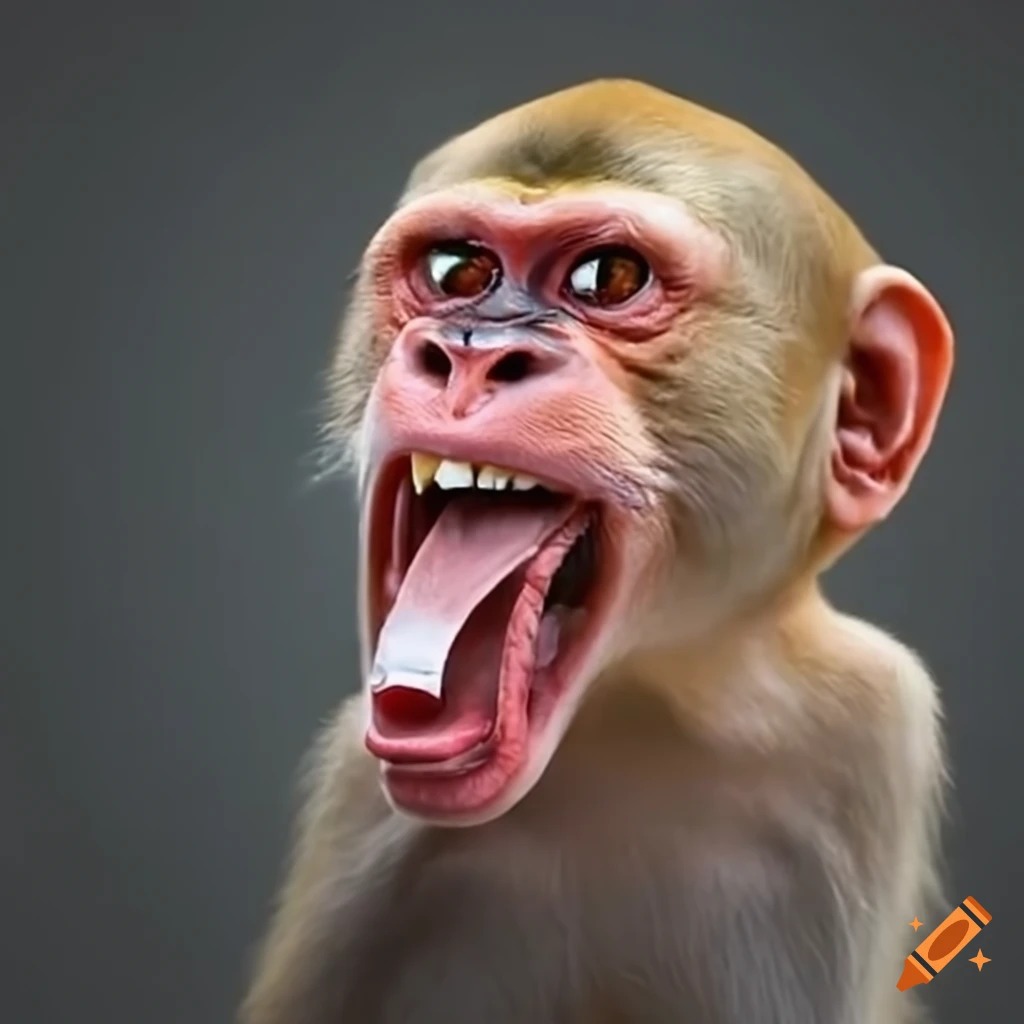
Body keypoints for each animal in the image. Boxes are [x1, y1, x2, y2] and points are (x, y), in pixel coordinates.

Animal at [240, 79, 954, 1024]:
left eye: (607, 278)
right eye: (457, 272)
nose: (471, 354)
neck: (641, 705)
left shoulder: (863, 730)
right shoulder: (361, 816)